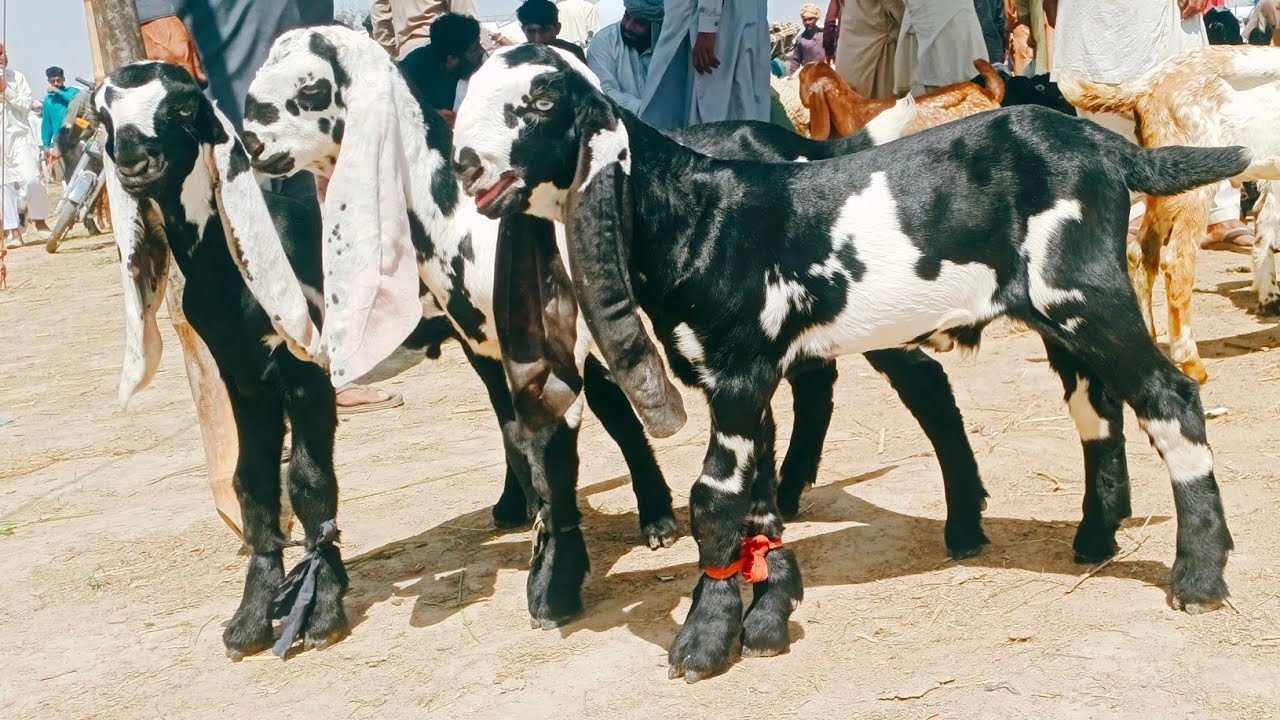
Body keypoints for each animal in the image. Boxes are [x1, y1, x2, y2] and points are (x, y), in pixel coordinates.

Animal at [1059, 45, 1280, 383]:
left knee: (1141, 251)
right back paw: (1190, 361)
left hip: (1164, 177)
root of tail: (1147, 85)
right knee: (1177, 261)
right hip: (1197, 178)